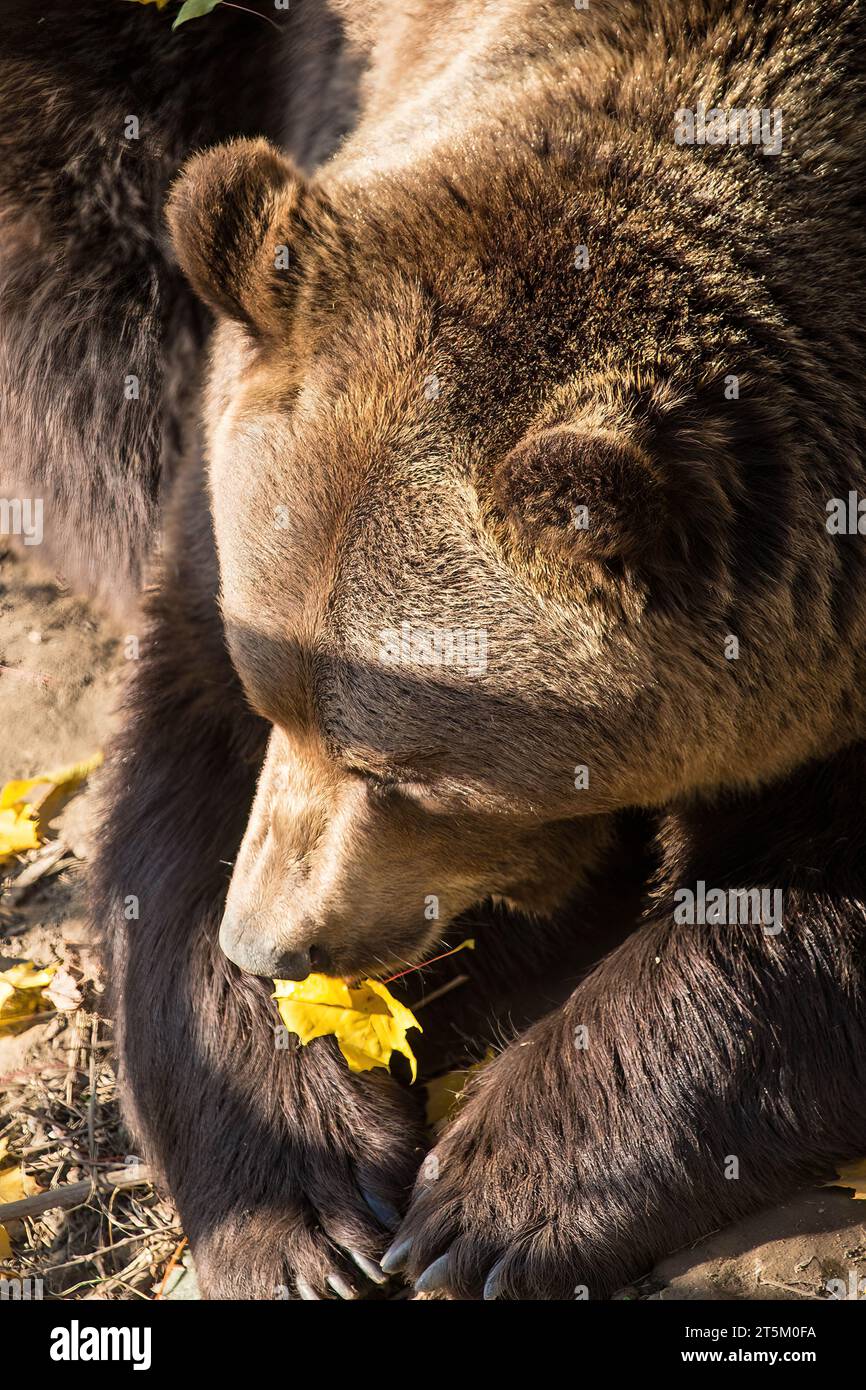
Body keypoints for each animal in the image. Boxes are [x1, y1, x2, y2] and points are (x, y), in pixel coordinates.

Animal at [4, 0, 866, 1301]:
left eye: (404, 769)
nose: (268, 942)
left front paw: (494, 1201)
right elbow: (179, 781)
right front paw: (301, 1210)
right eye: (279, 702)